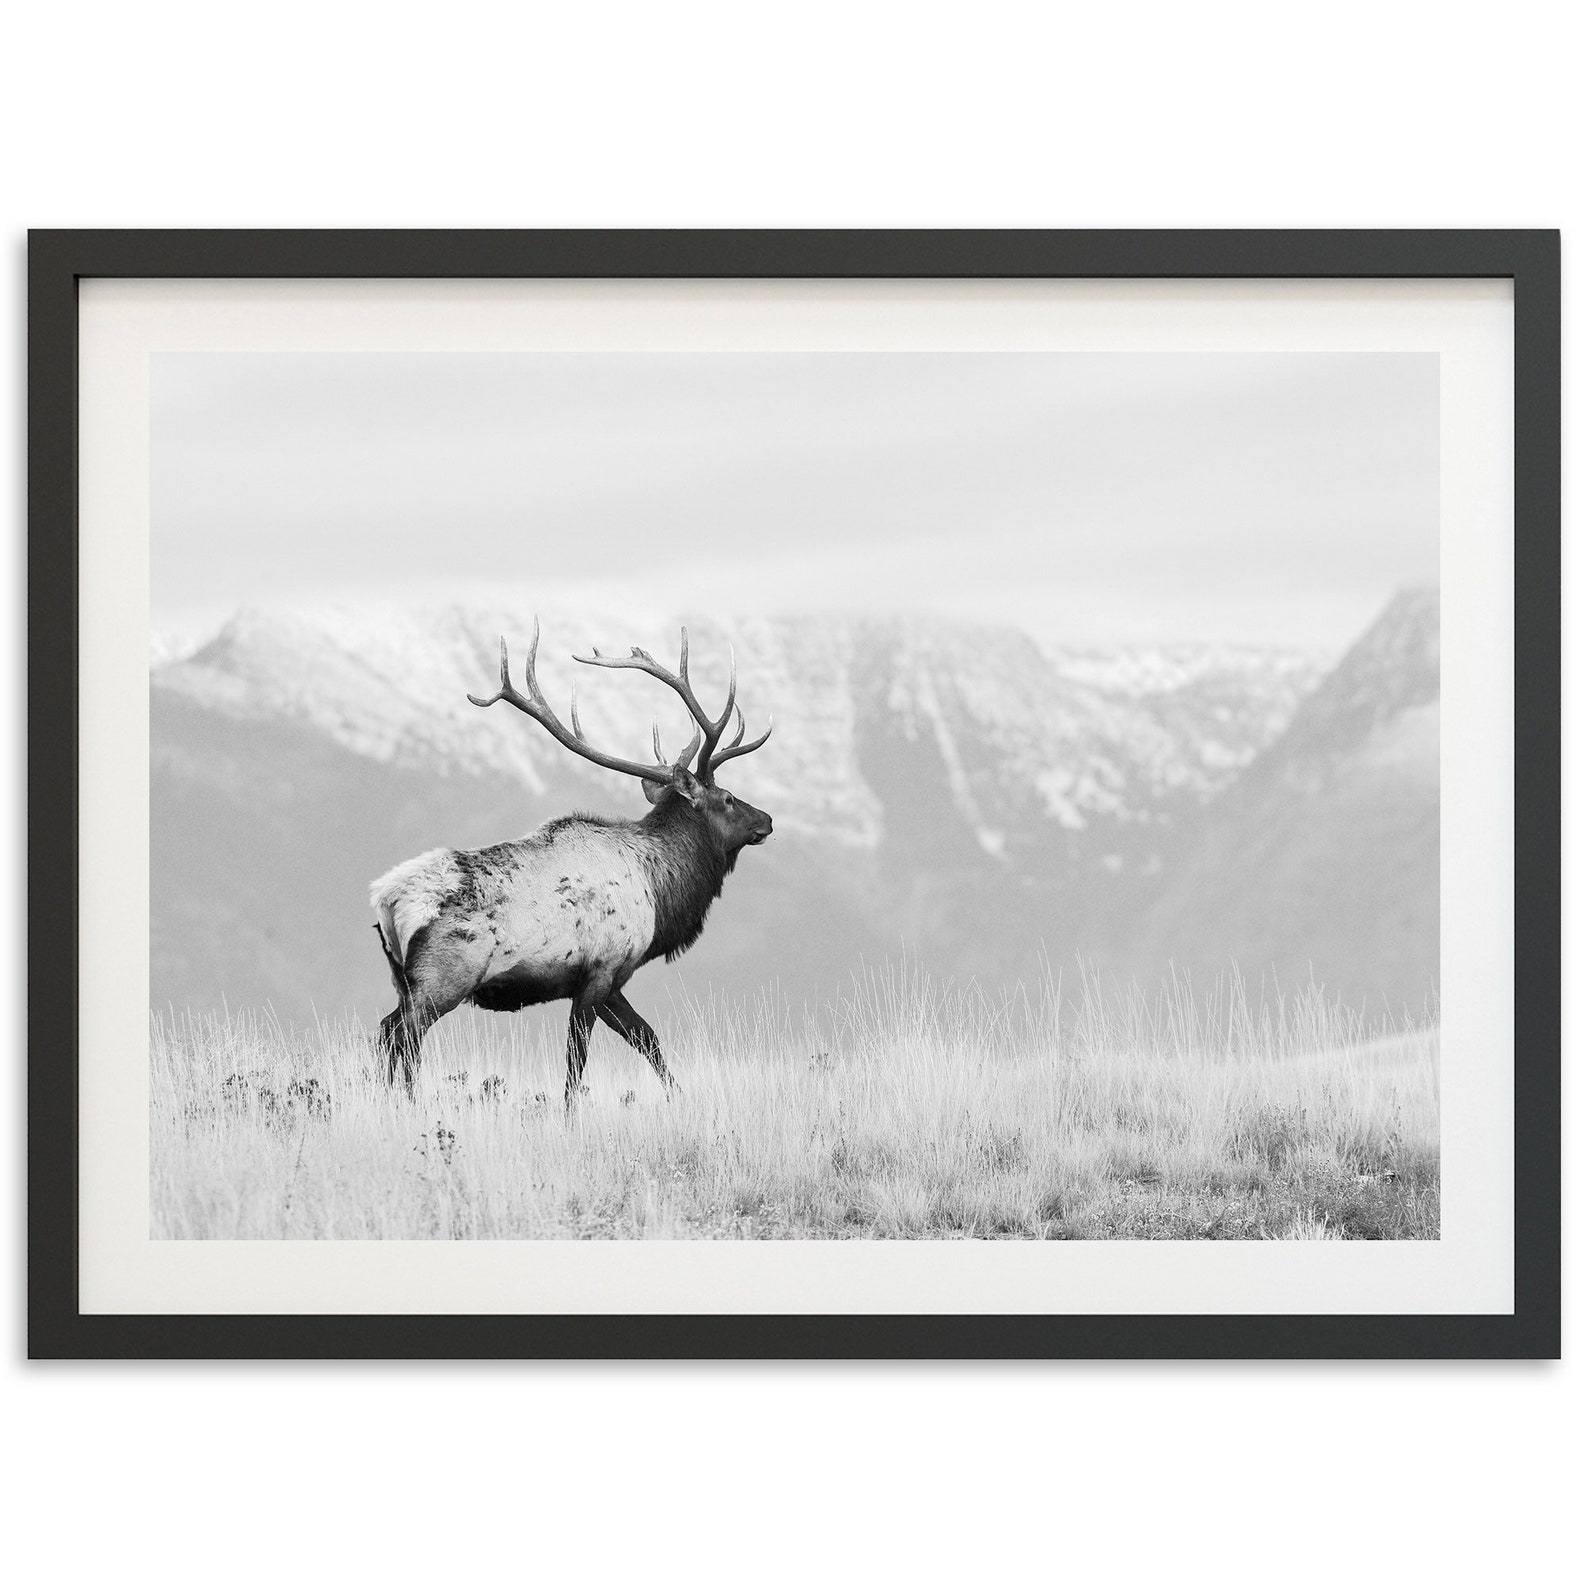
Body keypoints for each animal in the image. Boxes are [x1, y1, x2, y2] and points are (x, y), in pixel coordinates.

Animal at [369, 619, 773, 1103]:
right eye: (728, 798)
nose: (767, 820)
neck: (660, 891)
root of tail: (386, 899)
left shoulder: (611, 982)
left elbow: (648, 1039)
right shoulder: (600, 970)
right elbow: (576, 1065)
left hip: (402, 981)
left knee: (389, 1033)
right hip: (443, 978)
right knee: (400, 1036)